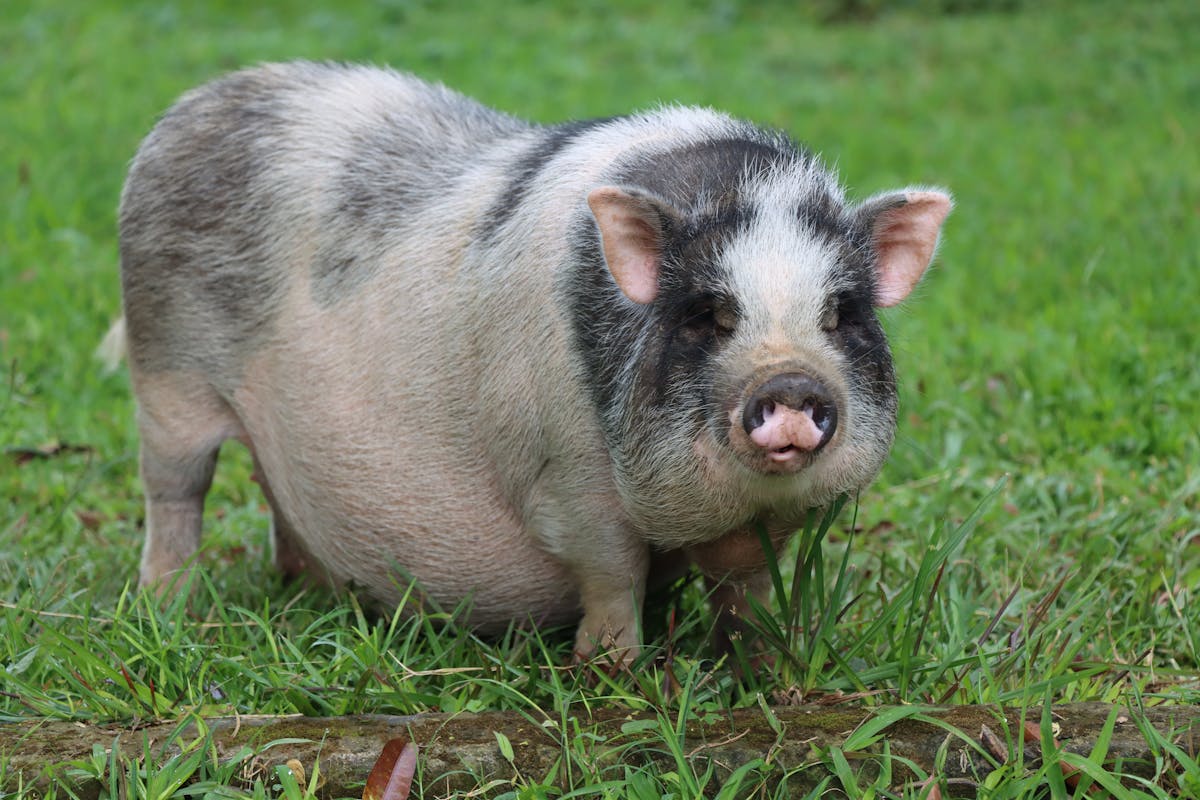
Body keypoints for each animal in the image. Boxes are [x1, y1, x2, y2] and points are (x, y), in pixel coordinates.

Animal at [117, 62, 950, 659]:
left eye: (842, 314)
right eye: (707, 316)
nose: (790, 381)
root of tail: (198, 100)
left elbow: (748, 589)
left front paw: (760, 670)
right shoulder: (565, 469)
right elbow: (613, 572)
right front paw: (612, 673)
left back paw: (301, 592)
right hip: (165, 371)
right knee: (175, 488)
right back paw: (169, 607)